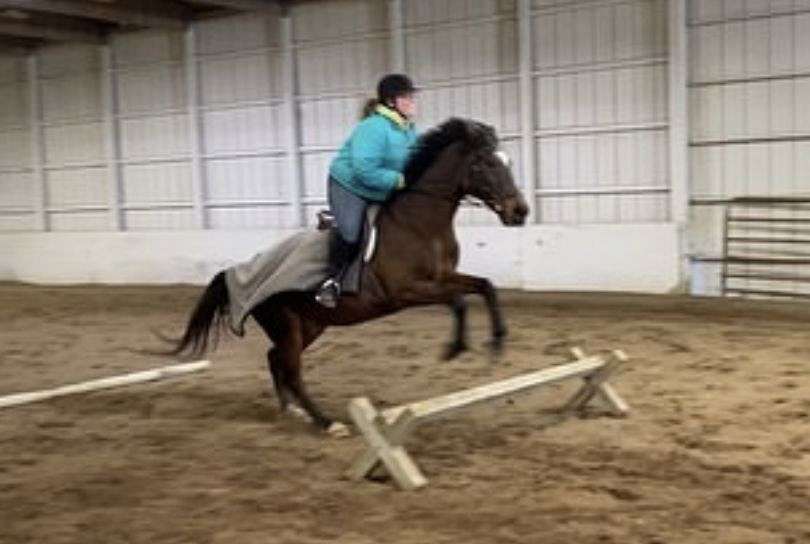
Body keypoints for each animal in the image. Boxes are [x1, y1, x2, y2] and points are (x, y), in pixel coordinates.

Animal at [165, 118, 529, 436]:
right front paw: (454, 348)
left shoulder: (445, 276)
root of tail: (237, 271)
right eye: (486, 164)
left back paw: (290, 411)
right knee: (291, 370)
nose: (520, 212)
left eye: (507, 162)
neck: (420, 223)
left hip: (311, 325)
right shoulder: (407, 291)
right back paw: (327, 423)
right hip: (289, 326)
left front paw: (496, 343)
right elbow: (458, 302)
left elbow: (485, 287)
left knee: (276, 359)